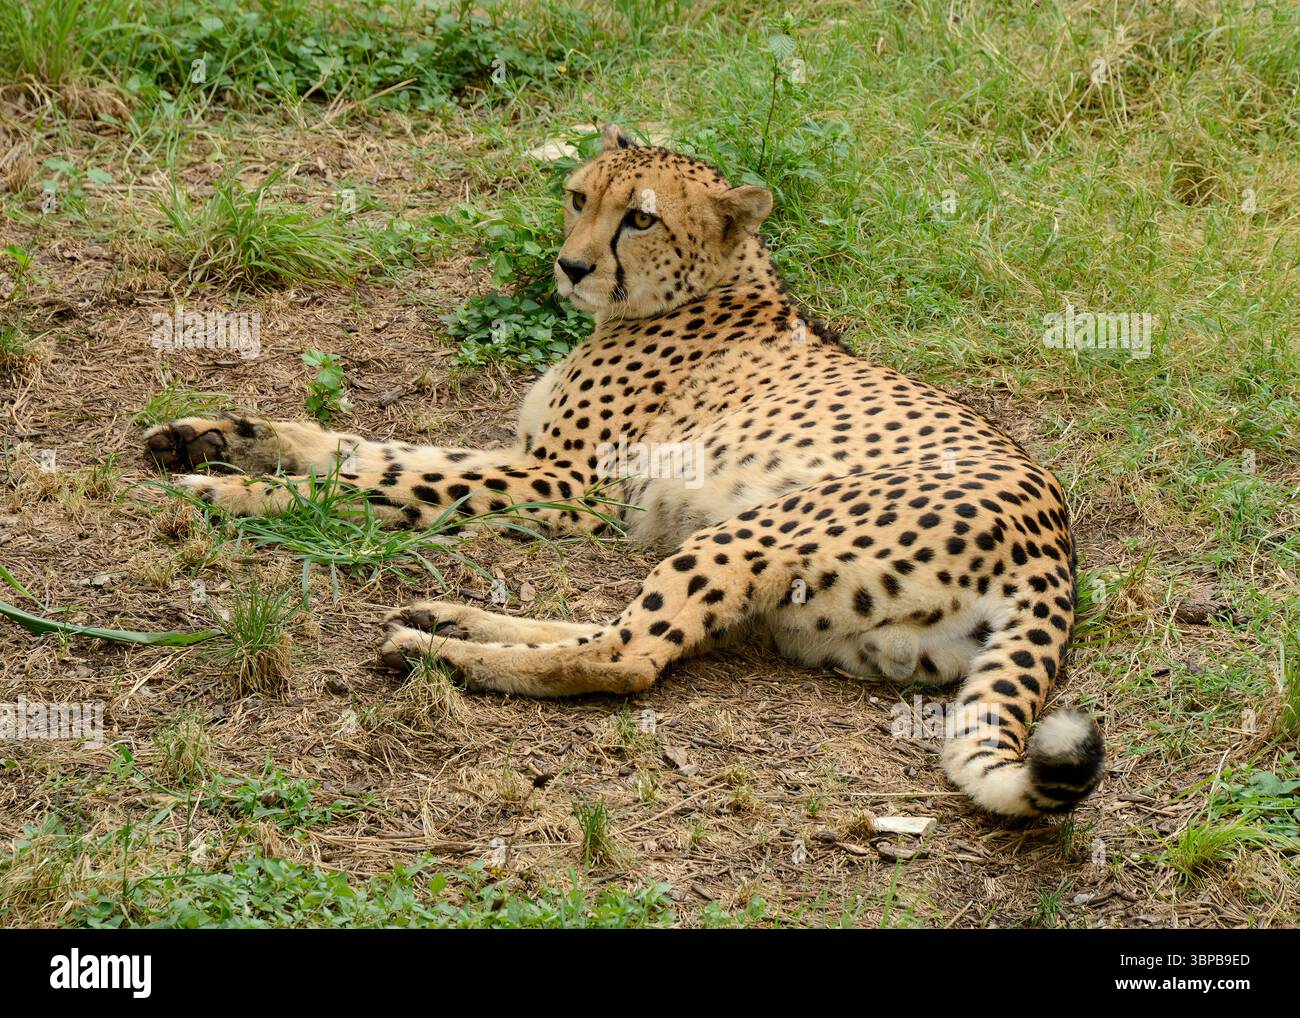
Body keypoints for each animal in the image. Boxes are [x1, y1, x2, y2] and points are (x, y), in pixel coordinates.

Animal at [142, 124, 1104, 818]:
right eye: (577, 197)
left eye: (640, 218)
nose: (569, 267)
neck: (711, 287)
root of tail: (1055, 537)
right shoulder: (531, 460)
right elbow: (369, 450)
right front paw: (212, 435)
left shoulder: (564, 484)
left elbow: (383, 483)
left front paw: (232, 490)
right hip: (811, 620)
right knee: (611, 631)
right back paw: (448, 615)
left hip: (754, 529)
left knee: (625, 657)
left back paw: (433, 651)